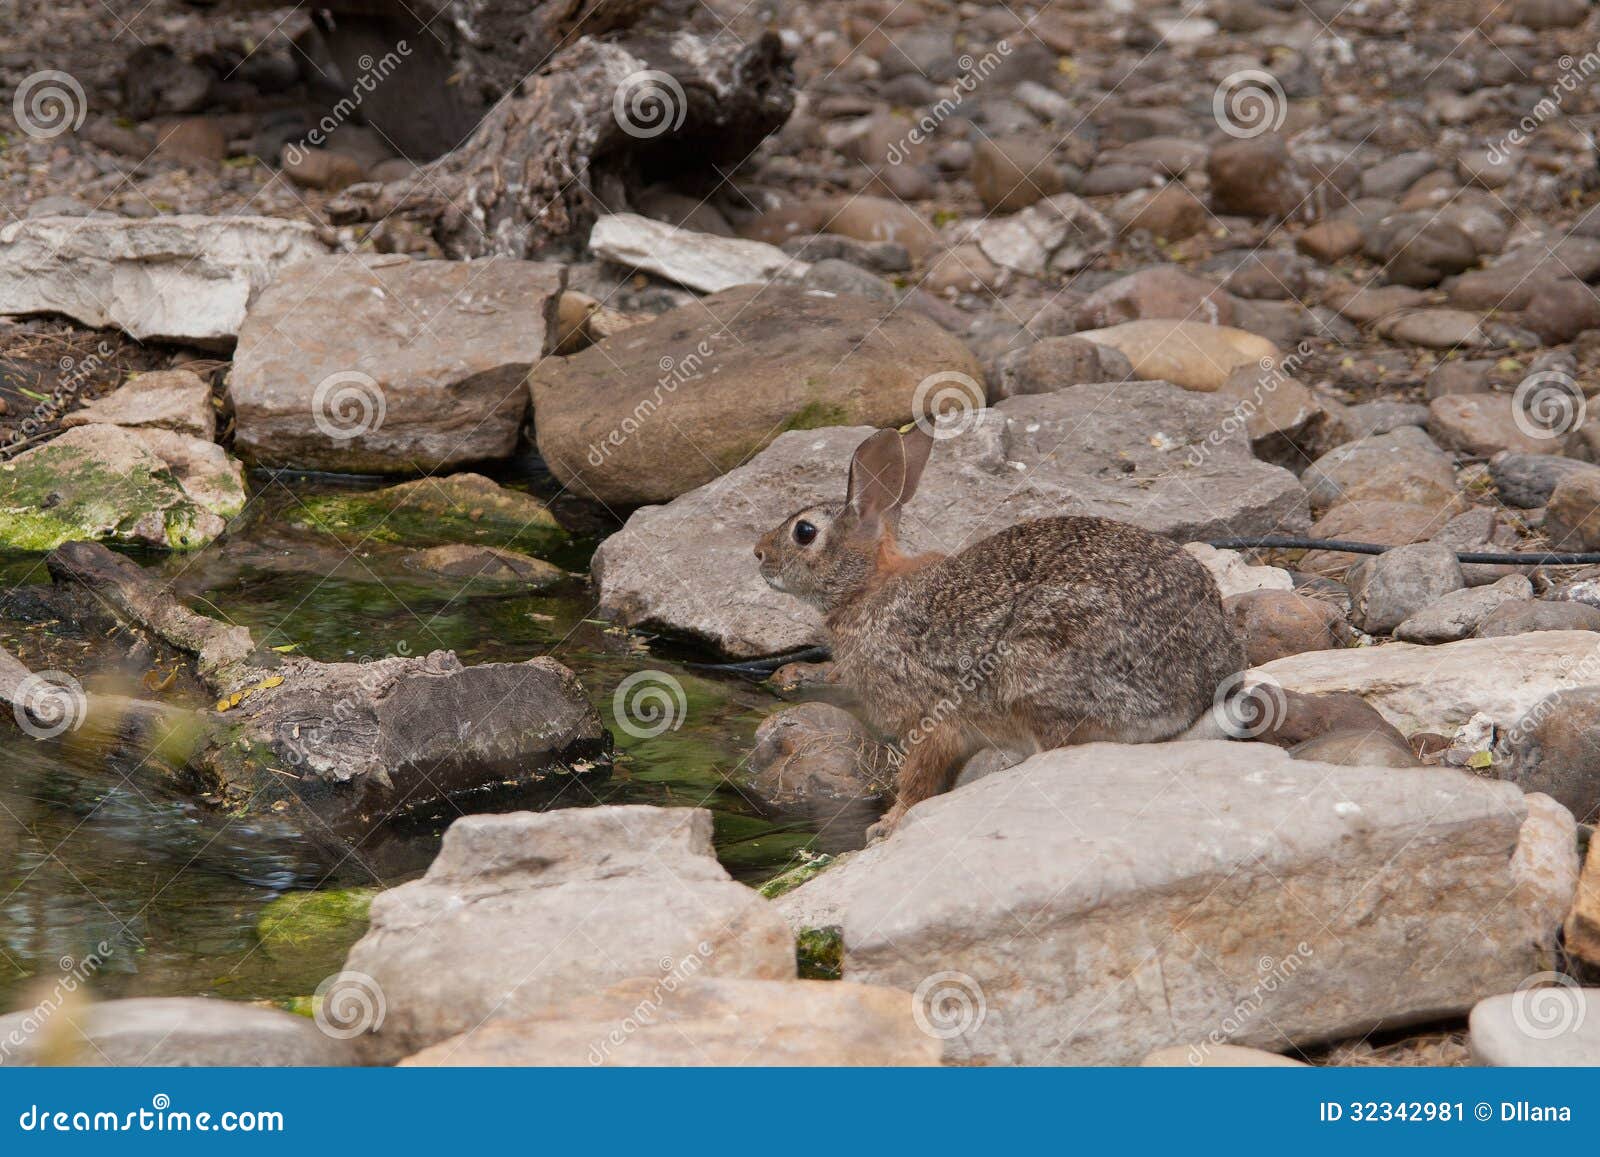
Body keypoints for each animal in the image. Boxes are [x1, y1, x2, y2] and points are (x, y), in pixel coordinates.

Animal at [754, 425, 1246, 840]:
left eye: (804, 532)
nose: (757, 553)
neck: (866, 587)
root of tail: (1198, 688)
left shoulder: (932, 718)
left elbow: (917, 780)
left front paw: (887, 826)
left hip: (1036, 672)